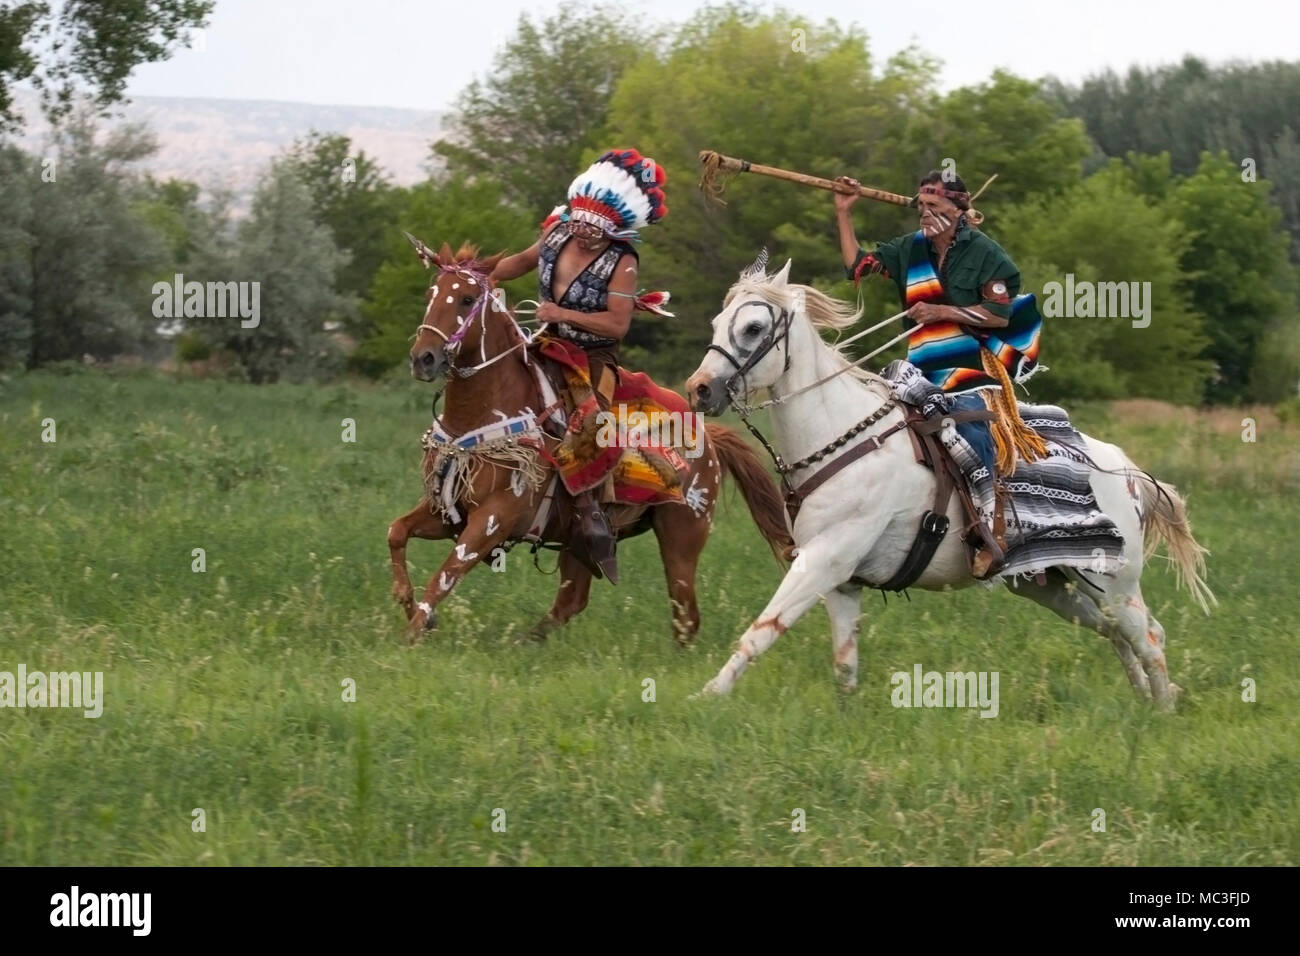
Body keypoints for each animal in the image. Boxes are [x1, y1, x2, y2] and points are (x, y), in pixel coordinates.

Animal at [386, 239, 794, 646]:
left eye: (467, 299)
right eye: (432, 293)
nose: (423, 358)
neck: (481, 414)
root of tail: (709, 437)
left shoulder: (494, 518)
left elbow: (444, 576)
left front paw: (412, 633)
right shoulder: (447, 510)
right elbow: (397, 532)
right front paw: (409, 606)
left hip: (682, 535)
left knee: (685, 616)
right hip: (580, 542)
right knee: (572, 602)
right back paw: (527, 642)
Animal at [685, 258, 1216, 710]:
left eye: (753, 328)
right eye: (716, 323)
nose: (699, 390)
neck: (843, 437)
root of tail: (1122, 469)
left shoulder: (824, 559)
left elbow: (765, 627)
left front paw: (708, 695)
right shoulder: (841, 581)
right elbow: (845, 666)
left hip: (1114, 582)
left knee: (1149, 637)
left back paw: (1162, 714)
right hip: (1050, 584)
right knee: (1115, 632)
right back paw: (1146, 699)